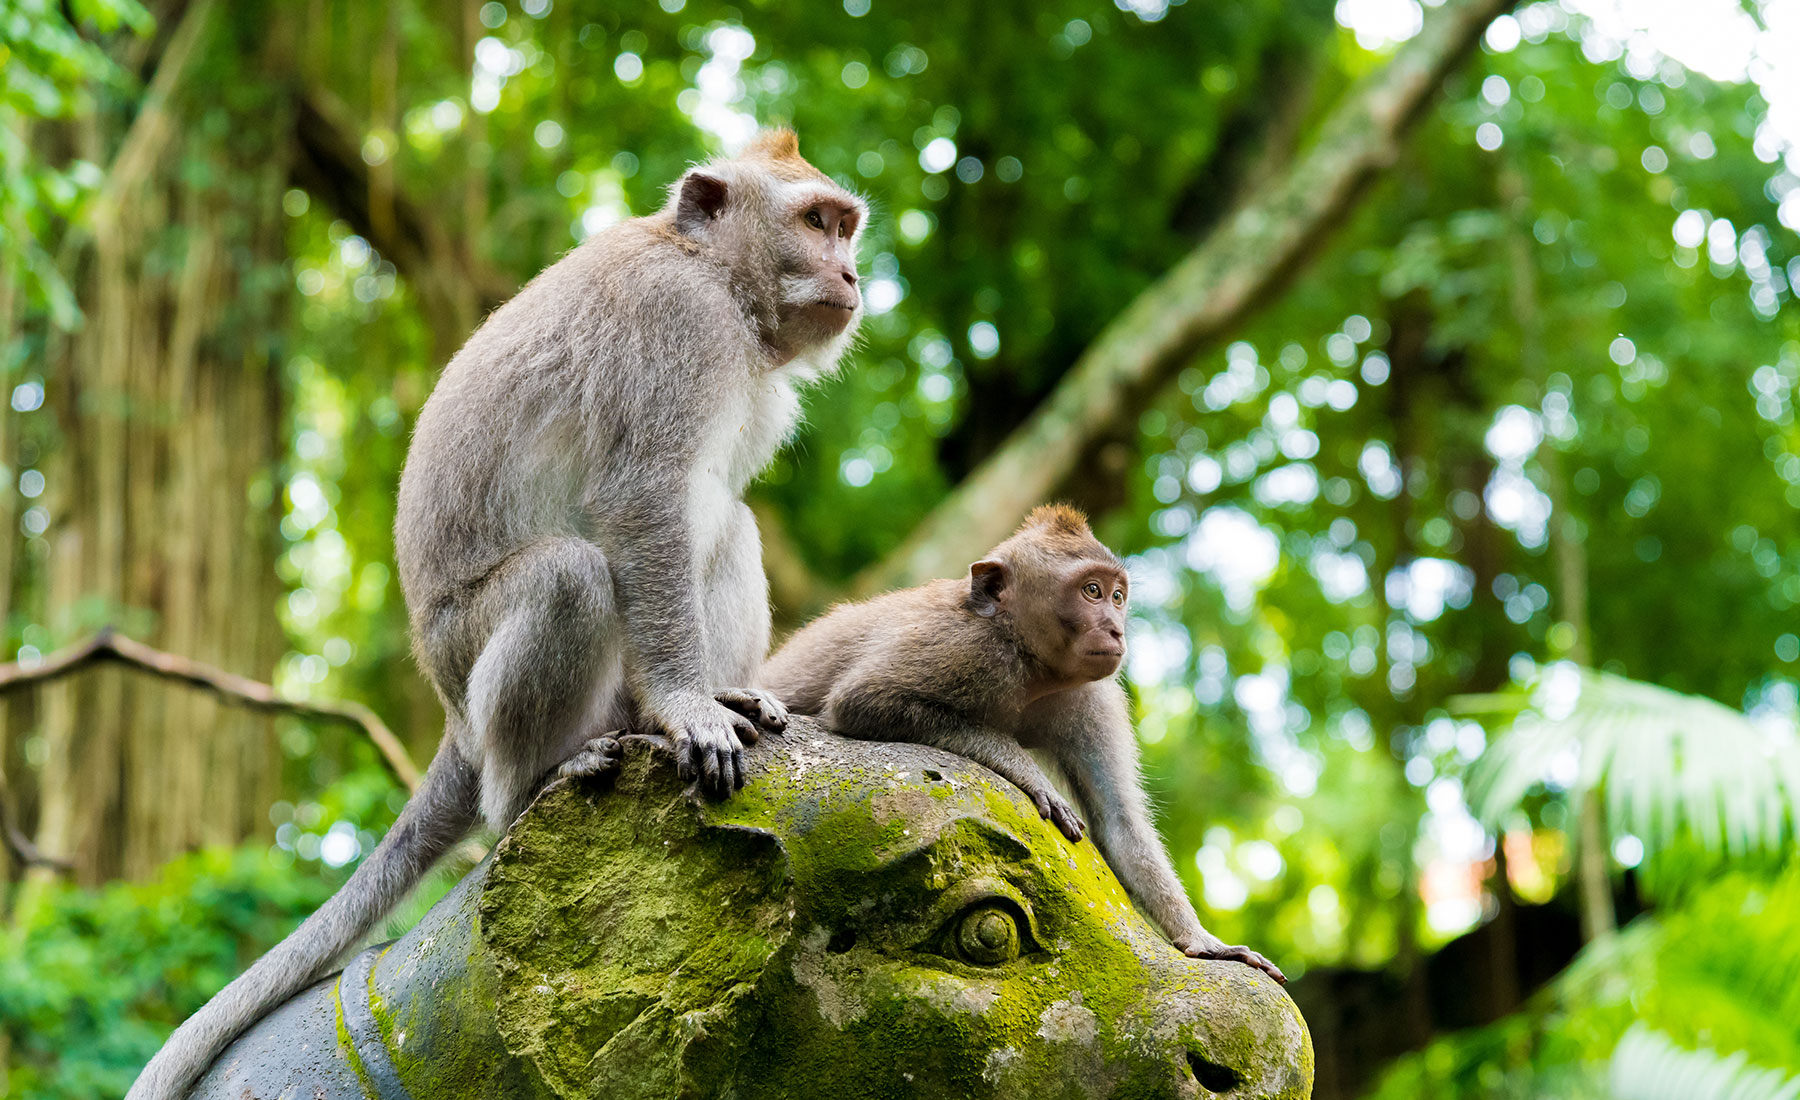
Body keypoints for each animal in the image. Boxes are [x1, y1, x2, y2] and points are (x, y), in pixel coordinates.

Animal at [128, 129, 867, 1100]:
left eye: (845, 226)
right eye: (816, 222)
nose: (853, 274)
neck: (712, 275)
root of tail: (451, 715)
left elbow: (697, 515)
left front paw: (712, 698)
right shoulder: (677, 326)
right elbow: (642, 500)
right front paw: (687, 707)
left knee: (727, 526)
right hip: (467, 651)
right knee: (570, 577)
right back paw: (533, 783)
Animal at [760, 505, 1286, 984]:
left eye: (1118, 596)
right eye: (1092, 591)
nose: (1116, 628)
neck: (1030, 664)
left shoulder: (1092, 698)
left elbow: (1118, 822)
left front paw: (1203, 942)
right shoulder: (962, 646)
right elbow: (863, 700)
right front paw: (1031, 776)